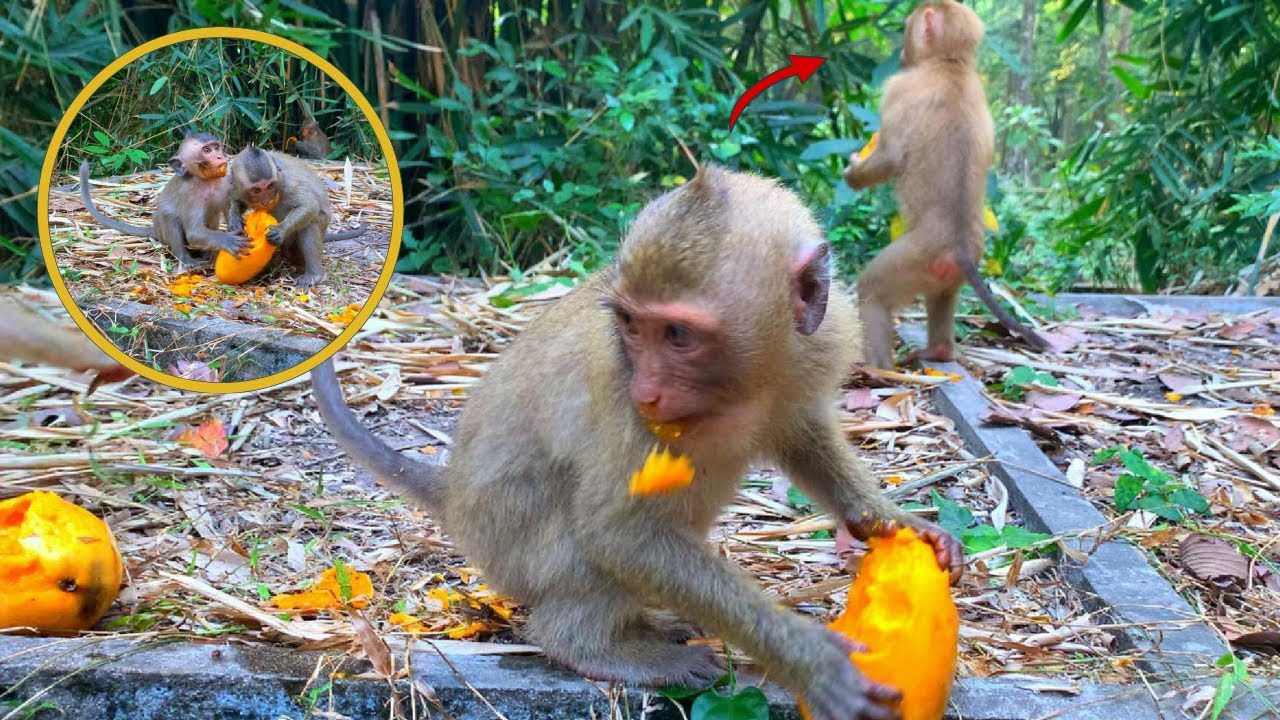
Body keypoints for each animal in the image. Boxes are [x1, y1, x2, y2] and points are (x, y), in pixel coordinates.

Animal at [78, 134, 250, 270]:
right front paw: (228, 240)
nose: (220, 157)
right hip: (163, 230)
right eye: (207, 151)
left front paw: (237, 223)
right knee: (169, 217)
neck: (207, 182)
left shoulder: (225, 183)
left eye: (216, 147)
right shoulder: (189, 195)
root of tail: (155, 230)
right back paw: (186, 258)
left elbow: (231, 209)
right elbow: (194, 232)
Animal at [225, 146, 367, 290]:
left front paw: (280, 230)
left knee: (310, 224)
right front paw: (235, 222)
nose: (266, 200)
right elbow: (236, 200)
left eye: (270, 186)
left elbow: (309, 205)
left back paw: (313, 275)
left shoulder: (288, 183)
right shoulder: (234, 184)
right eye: (257, 190)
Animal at [312, 165, 963, 720]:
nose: (648, 391)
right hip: (510, 548)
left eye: (677, 334)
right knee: (590, 551)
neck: (745, 384)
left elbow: (802, 433)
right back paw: (595, 646)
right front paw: (813, 661)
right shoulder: (620, 389)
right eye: (630, 325)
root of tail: (452, 496)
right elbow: (616, 533)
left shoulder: (817, 344)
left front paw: (891, 522)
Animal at [844, 0, 1052, 369]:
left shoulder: (898, 88)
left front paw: (854, 173)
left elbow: (891, 156)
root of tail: (959, 249)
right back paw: (937, 351)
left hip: (917, 257)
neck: (949, 65)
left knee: (873, 290)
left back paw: (877, 369)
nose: (902, 52)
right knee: (943, 293)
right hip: (950, 266)